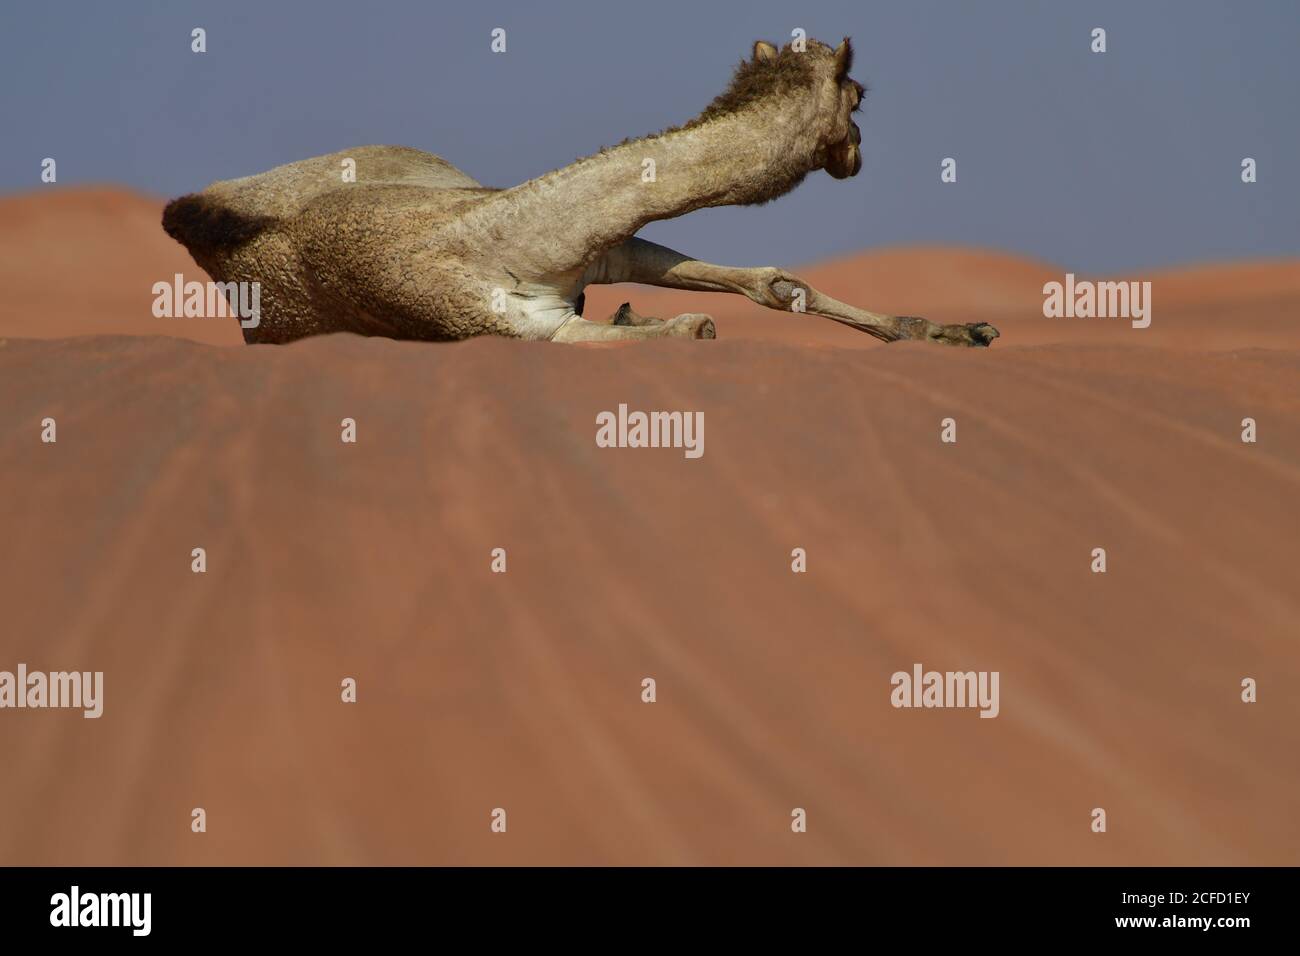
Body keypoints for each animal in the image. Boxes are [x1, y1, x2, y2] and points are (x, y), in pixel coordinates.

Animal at [162, 37, 999, 348]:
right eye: (861, 94)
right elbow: (694, 328)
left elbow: (771, 283)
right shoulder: (528, 329)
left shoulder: (607, 247)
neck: (494, 237)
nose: (856, 157)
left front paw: (946, 331)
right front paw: (669, 320)